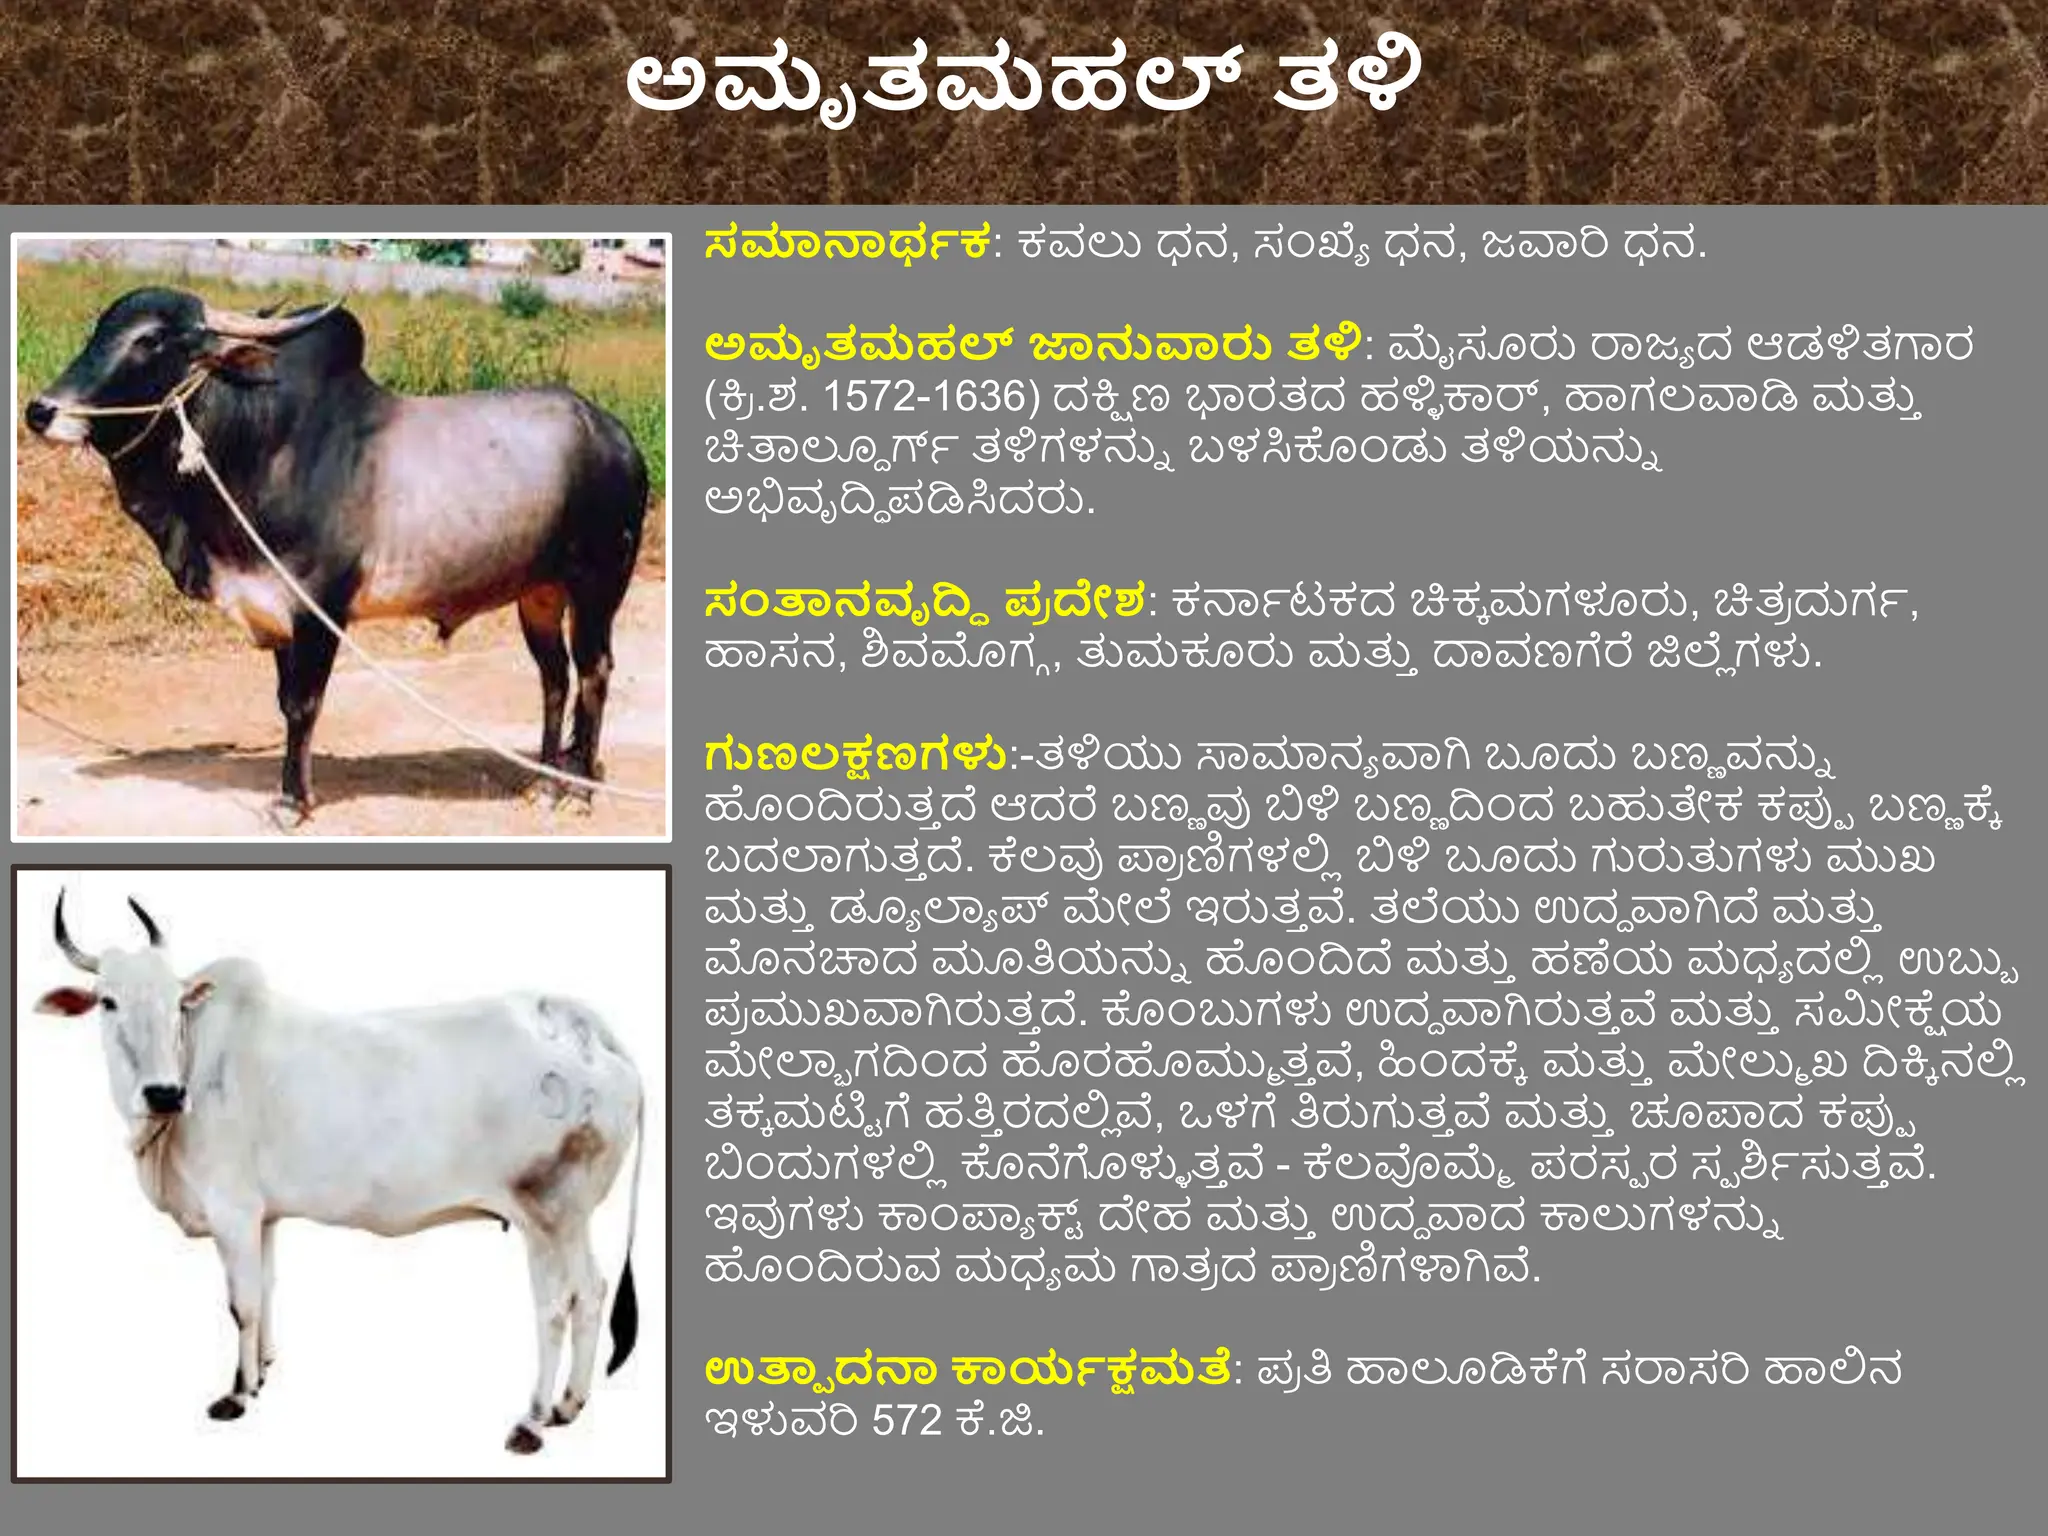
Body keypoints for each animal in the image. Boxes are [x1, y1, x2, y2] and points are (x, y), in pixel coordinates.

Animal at [22, 287, 649, 821]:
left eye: (150, 340)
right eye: (100, 328)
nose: (40, 411)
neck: (263, 446)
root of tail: (616, 434)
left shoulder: (318, 610)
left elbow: (304, 704)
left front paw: (292, 802)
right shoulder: (273, 608)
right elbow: (284, 703)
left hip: (598, 586)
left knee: (593, 672)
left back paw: (578, 792)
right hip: (539, 594)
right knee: (554, 677)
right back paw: (544, 782)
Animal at [33, 891, 646, 1455]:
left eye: (177, 1003)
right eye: (107, 1002)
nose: (163, 1094)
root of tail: (574, 1024)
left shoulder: (232, 1211)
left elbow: (241, 1303)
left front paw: (237, 1393)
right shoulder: (264, 1217)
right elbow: (267, 1288)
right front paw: (262, 1370)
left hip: (547, 1215)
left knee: (558, 1306)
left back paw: (533, 1420)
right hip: (565, 1220)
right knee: (590, 1293)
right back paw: (567, 1406)